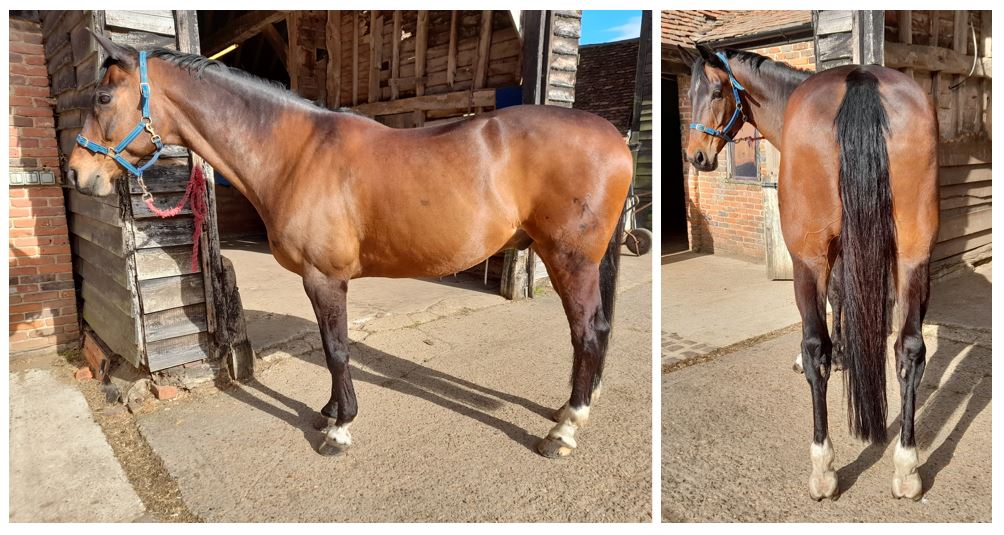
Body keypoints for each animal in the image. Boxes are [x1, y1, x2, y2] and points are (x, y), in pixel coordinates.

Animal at [69, 32, 633, 459]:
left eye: (102, 98)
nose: (77, 174)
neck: (295, 153)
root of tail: (616, 139)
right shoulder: (319, 281)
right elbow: (328, 346)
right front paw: (328, 413)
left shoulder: (325, 278)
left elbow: (337, 350)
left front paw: (340, 429)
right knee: (598, 331)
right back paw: (571, 408)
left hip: (569, 259)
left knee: (587, 332)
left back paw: (564, 429)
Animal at [680, 44, 939, 501]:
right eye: (689, 94)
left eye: (716, 92)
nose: (696, 156)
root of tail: (860, 80)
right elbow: (847, 298)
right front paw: (848, 353)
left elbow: (832, 305)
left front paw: (838, 355)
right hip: (913, 252)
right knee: (910, 348)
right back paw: (907, 468)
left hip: (809, 257)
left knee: (814, 345)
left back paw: (823, 466)